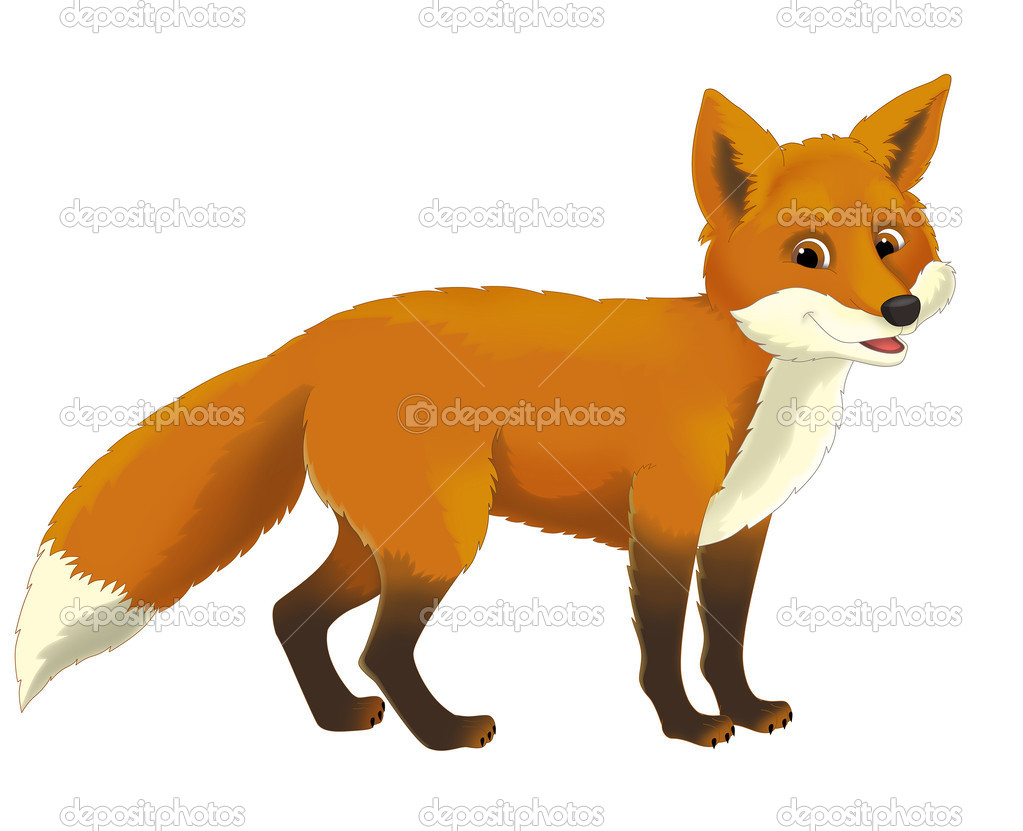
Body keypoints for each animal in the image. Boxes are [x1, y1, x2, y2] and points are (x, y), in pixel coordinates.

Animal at [16, 76, 954, 750]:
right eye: (809, 254)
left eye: (889, 242)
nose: (902, 308)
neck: (765, 385)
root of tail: (322, 333)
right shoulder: (663, 522)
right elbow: (660, 647)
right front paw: (686, 726)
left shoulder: (738, 530)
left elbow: (723, 643)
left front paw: (749, 706)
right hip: (443, 535)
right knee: (377, 646)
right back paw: (440, 732)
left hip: (389, 541)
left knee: (291, 613)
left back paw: (337, 718)